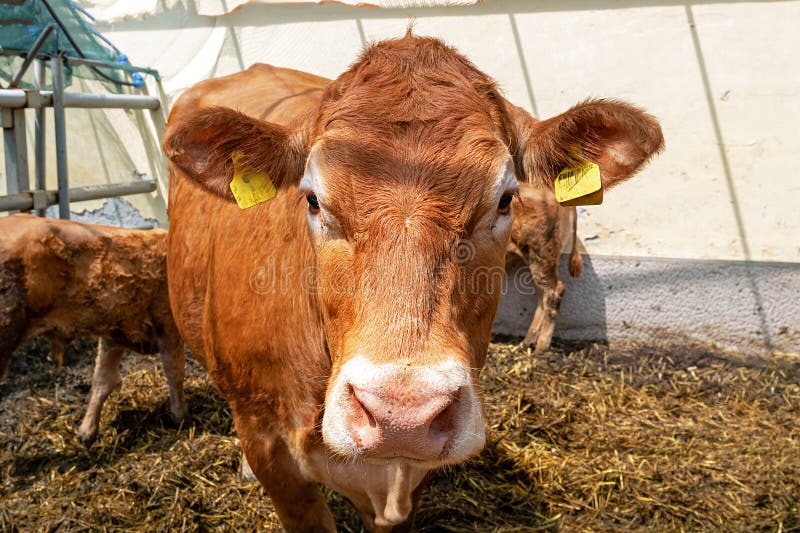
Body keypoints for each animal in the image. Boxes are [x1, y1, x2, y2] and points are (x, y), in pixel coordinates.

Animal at [0, 214, 187, 445]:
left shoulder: (115, 332)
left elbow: (102, 379)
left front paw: (85, 435)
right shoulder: (167, 322)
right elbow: (174, 370)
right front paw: (181, 418)